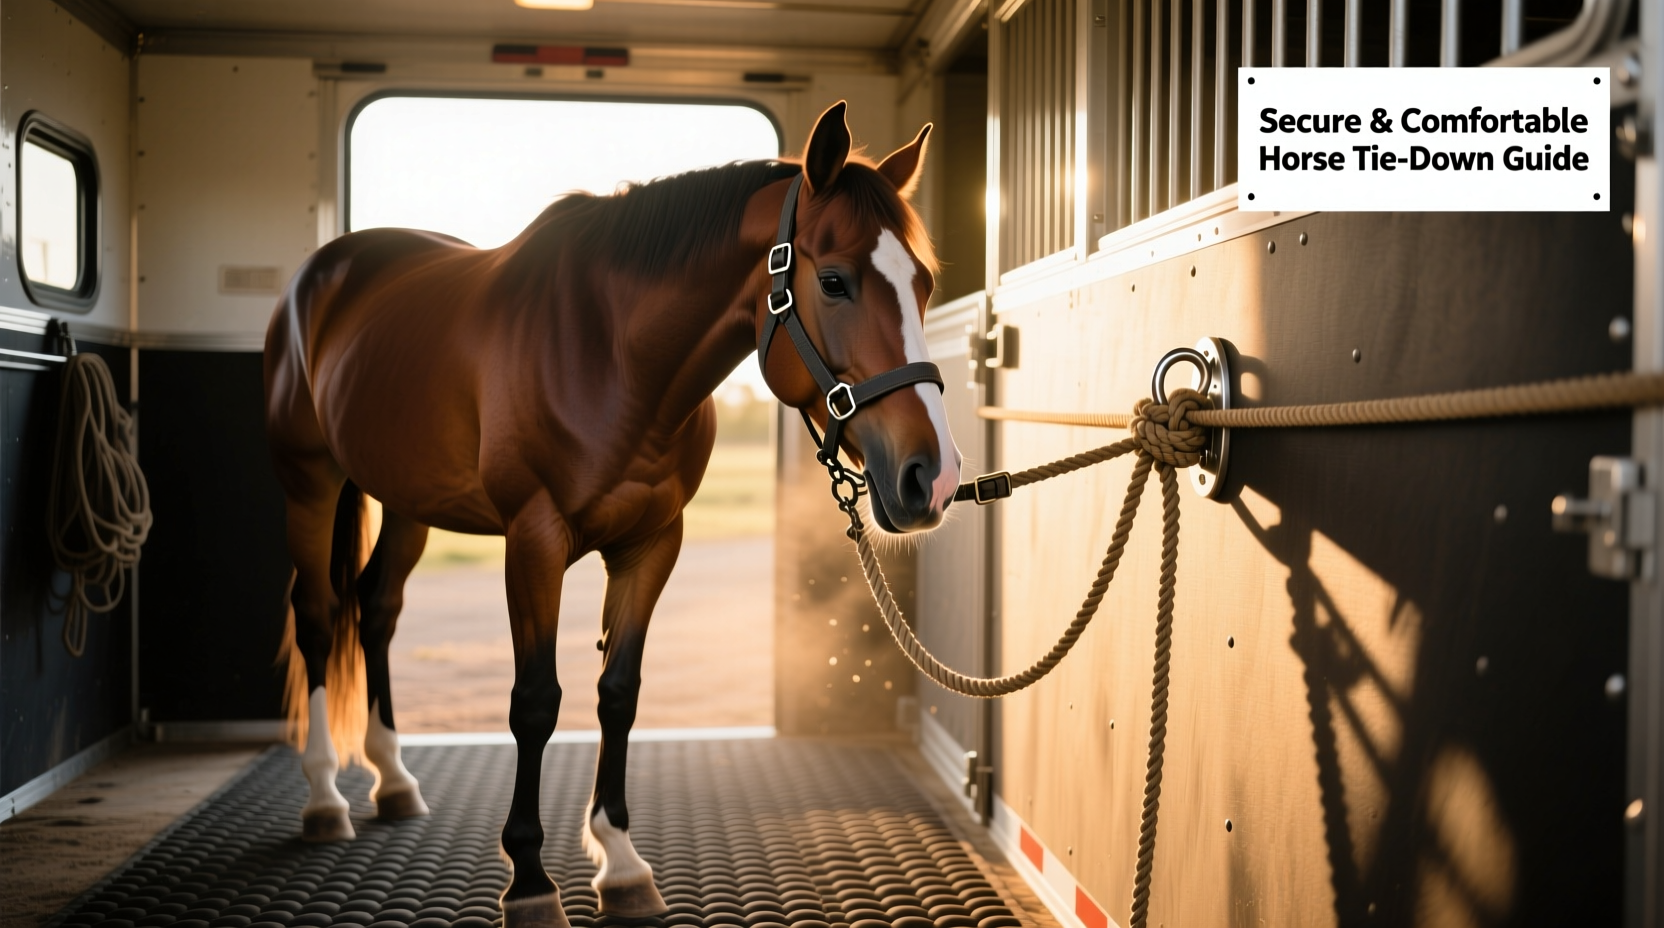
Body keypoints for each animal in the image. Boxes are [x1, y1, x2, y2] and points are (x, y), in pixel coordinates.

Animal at [262, 100, 961, 928]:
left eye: (923, 283)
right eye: (834, 281)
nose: (934, 477)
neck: (611, 355)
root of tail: (323, 275)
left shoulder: (652, 543)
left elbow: (618, 693)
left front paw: (621, 860)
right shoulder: (532, 541)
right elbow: (536, 703)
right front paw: (530, 879)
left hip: (408, 501)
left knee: (375, 608)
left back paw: (395, 780)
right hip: (310, 480)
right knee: (317, 614)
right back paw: (323, 797)